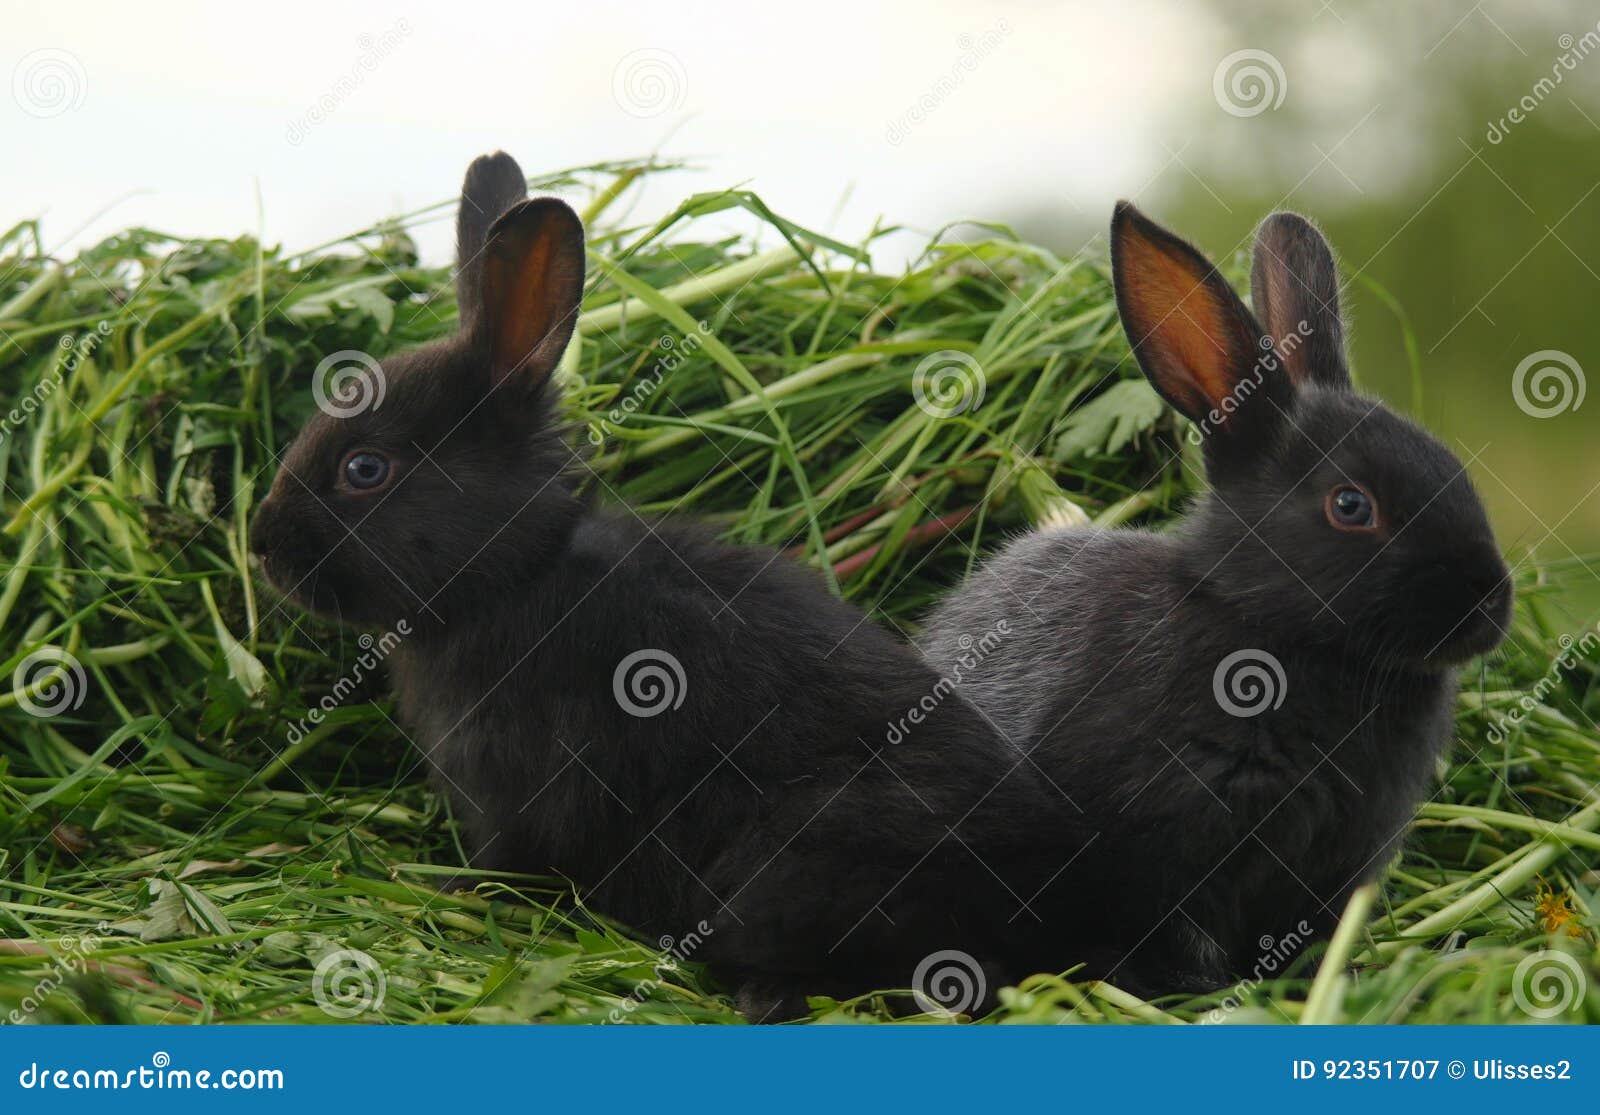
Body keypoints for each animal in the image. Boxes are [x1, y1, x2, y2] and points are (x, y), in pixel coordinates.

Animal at [249, 152, 1066, 1019]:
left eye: (365, 468)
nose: (262, 544)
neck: (513, 577)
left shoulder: (516, 795)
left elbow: (507, 860)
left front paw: (448, 886)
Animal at [918, 203, 1514, 995]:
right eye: (1351, 505)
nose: (1491, 606)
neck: (1274, 630)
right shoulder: (1163, 851)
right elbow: (1180, 934)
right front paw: (1202, 991)